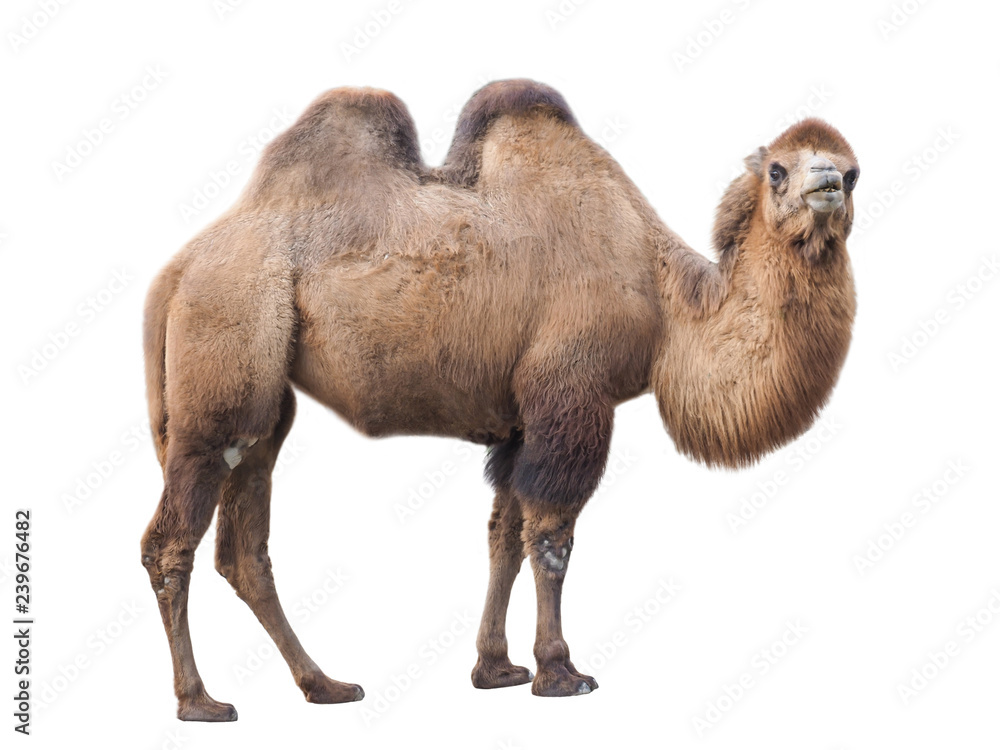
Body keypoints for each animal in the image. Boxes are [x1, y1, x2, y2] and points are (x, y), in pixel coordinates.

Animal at [140, 79, 859, 721]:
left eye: (852, 173)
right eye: (777, 170)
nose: (826, 183)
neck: (664, 300)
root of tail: (174, 273)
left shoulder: (519, 421)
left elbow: (504, 536)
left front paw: (496, 668)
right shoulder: (572, 393)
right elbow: (552, 534)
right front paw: (560, 672)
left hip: (263, 406)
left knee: (244, 549)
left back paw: (325, 685)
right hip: (223, 355)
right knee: (170, 540)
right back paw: (200, 702)